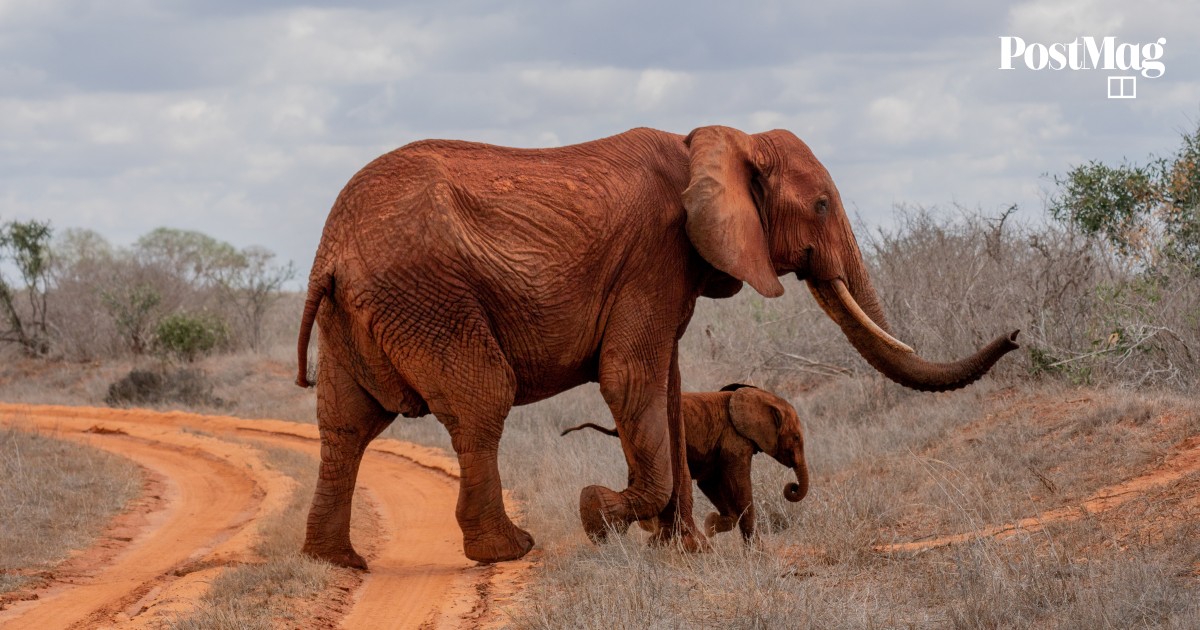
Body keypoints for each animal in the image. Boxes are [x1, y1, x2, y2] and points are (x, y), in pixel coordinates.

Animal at [561, 383, 807, 541]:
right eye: (796, 437)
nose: (792, 487)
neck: (760, 396)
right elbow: (739, 483)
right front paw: (756, 554)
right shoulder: (734, 439)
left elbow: (709, 482)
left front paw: (710, 527)